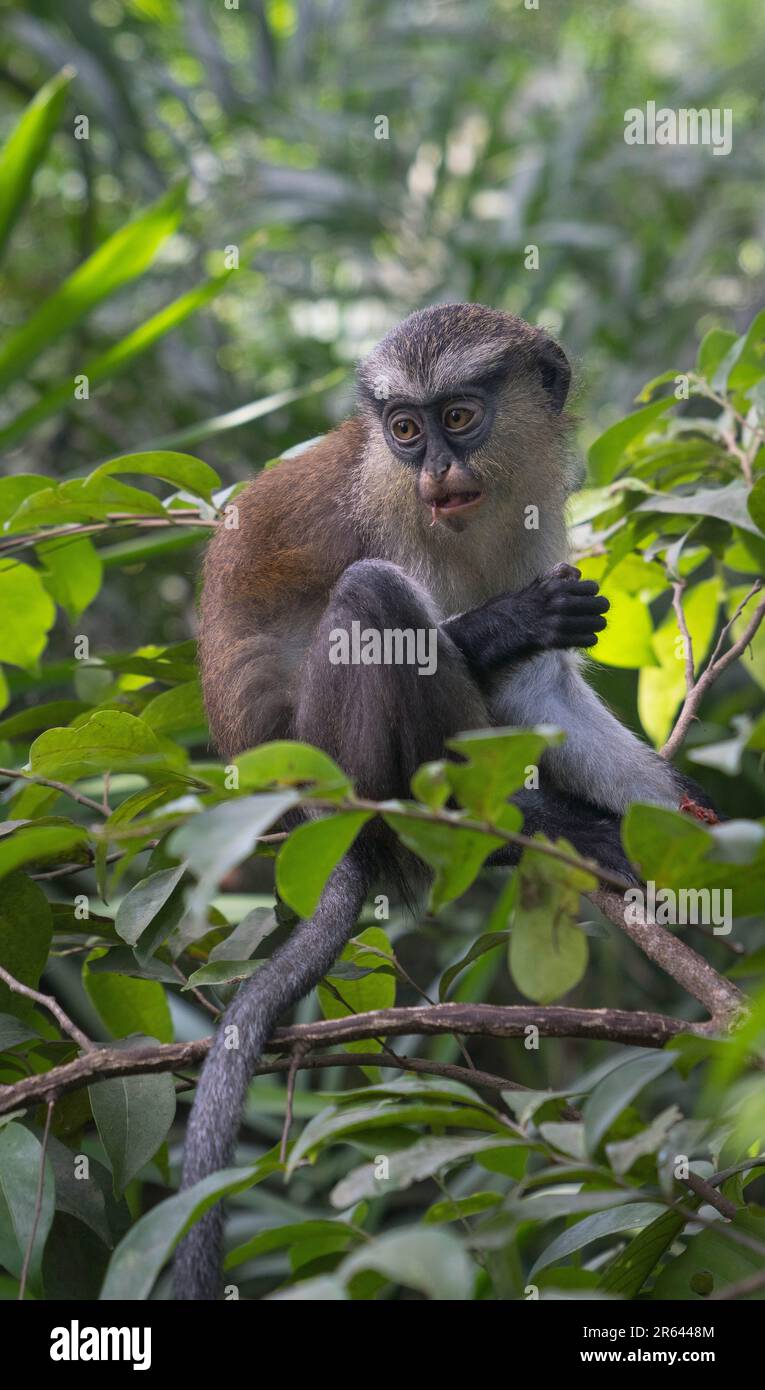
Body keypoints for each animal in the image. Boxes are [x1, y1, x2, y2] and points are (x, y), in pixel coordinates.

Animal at [175, 303, 708, 1299]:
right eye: (404, 430)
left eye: (458, 418)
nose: (434, 472)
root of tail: (317, 834)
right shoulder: (381, 512)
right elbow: (433, 624)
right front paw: (504, 625)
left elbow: (537, 691)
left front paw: (687, 829)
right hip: (338, 765)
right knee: (371, 598)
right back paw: (509, 828)